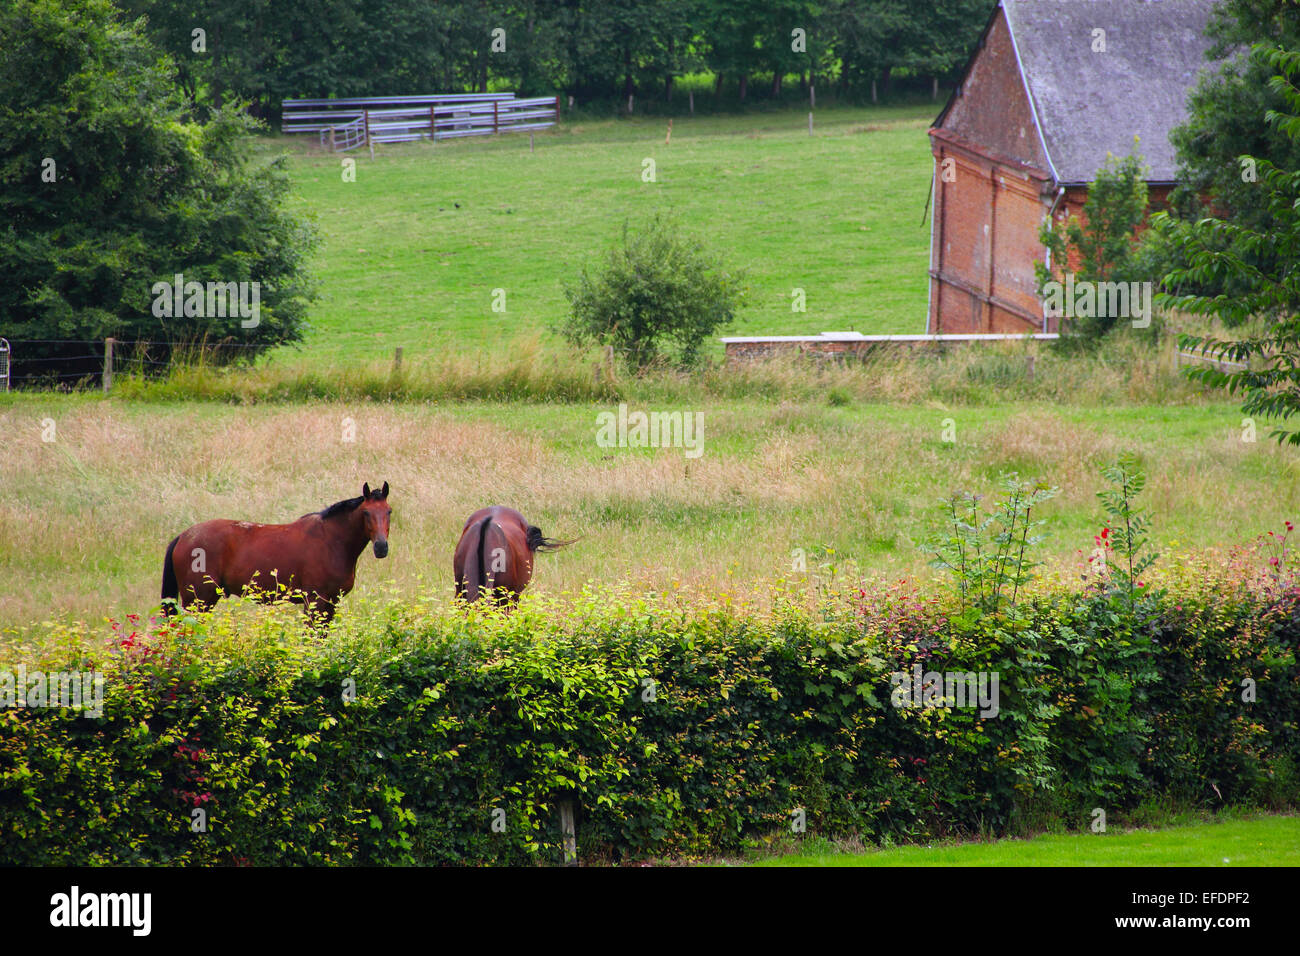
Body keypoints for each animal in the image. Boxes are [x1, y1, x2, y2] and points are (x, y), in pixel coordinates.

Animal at [161, 482, 391, 624]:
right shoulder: (315, 602)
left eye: (389, 511)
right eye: (366, 512)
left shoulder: (330, 603)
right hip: (197, 601)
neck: (331, 540)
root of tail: (183, 536)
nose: (381, 547)